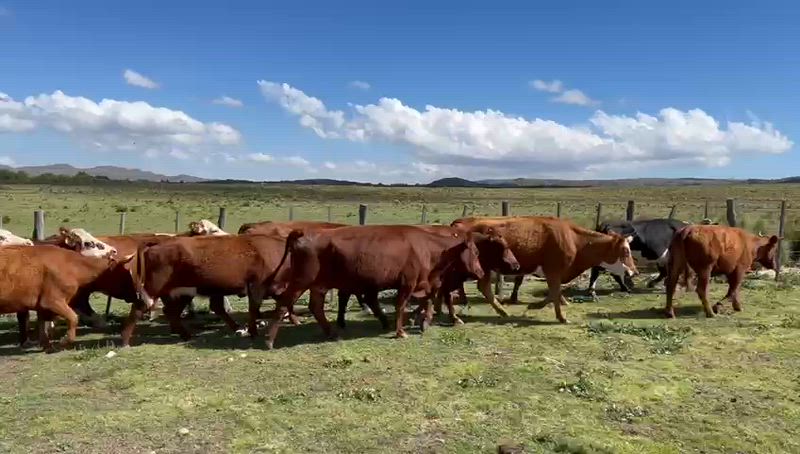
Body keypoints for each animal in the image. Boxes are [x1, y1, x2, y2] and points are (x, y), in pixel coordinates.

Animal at [260, 225, 493, 349]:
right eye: (476, 252)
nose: (481, 272)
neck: (426, 247)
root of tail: (304, 232)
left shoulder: (423, 283)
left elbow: (427, 300)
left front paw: (422, 321)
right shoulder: (408, 283)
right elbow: (401, 305)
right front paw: (401, 331)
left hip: (319, 285)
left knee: (316, 307)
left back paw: (332, 333)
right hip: (301, 281)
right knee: (283, 305)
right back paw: (269, 341)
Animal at [449, 216, 638, 323]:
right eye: (626, 251)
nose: (634, 272)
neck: (574, 240)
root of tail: (460, 222)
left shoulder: (553, 273)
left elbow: (555, 292)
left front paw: (539, 304)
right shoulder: (553, 271)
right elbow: (554, 292)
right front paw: (559, 316)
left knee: (483, 288)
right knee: (483, 288)